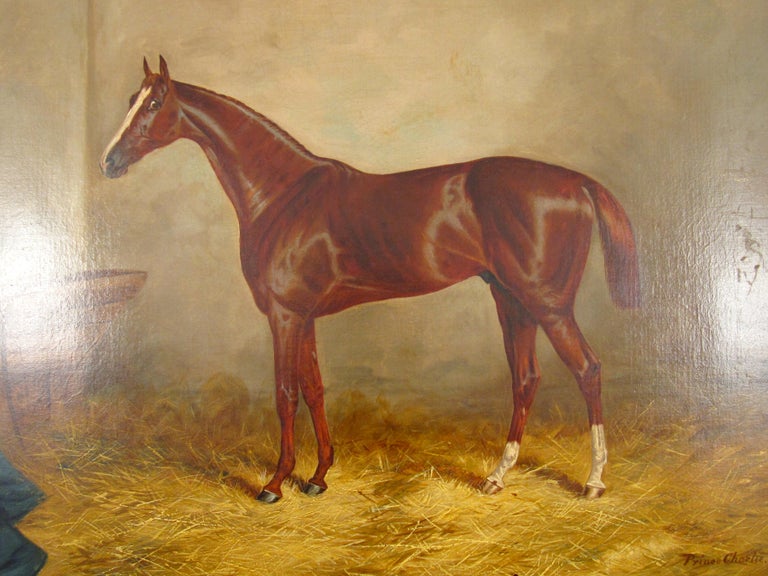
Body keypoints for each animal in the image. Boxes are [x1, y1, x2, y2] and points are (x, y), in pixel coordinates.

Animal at [100, 56, 640, 503]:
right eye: (129, 101)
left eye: (154, 102)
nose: (108, 160)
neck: (284, 194)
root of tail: (576, 182)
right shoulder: (305, 316)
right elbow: (315, 390)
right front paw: (318, 477)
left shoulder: (284, 315)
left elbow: (285, 394)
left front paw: (276, 482)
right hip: (512, 300)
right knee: (526, 379)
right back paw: (496, 477)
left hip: (548, 304)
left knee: (588, 370)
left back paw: (593, 481)